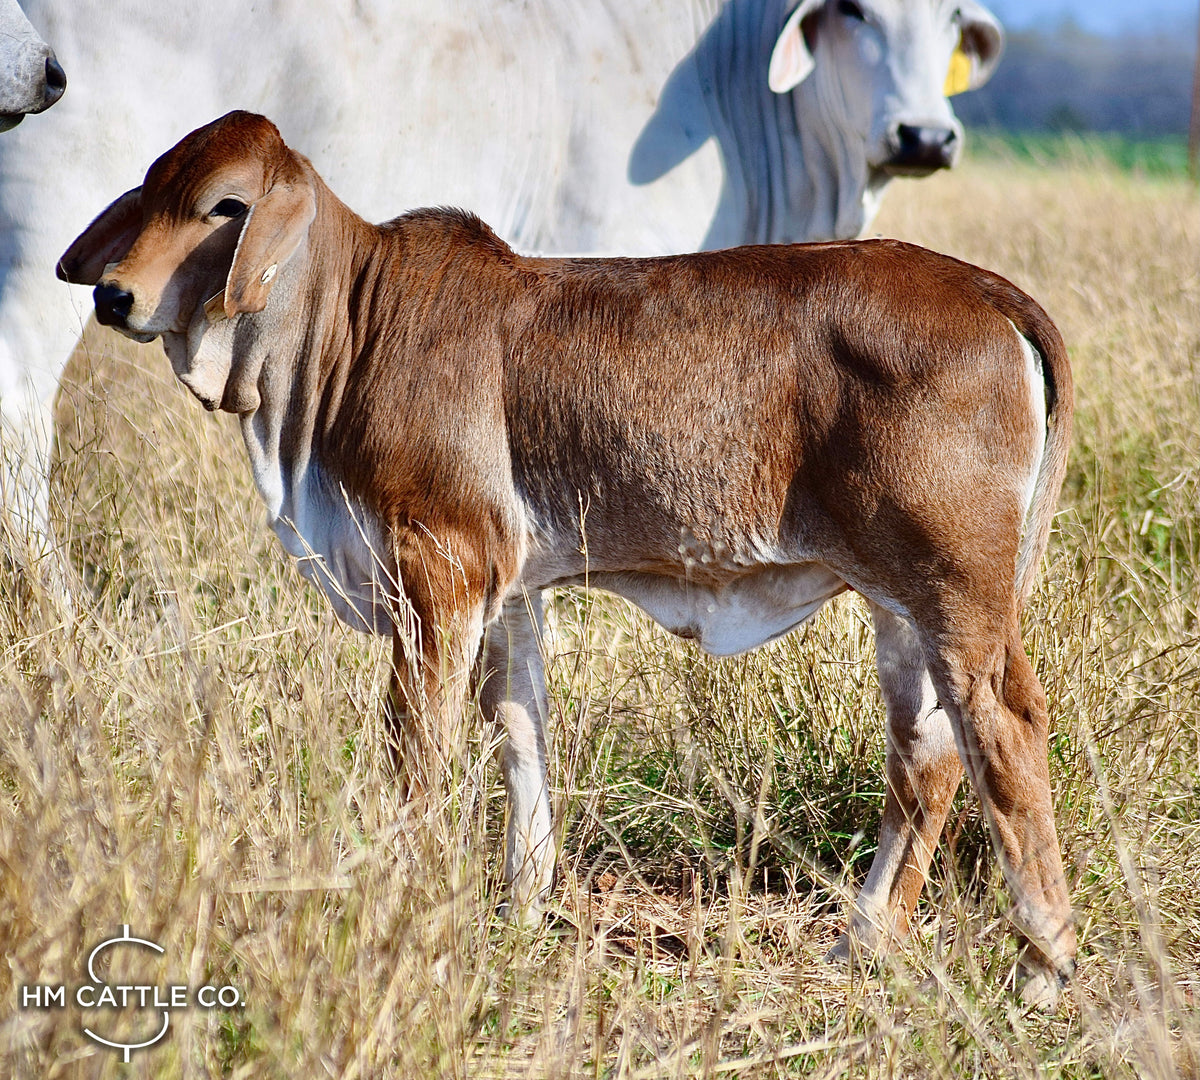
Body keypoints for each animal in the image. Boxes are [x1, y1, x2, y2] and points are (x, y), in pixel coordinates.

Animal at [59, 111, 1075, 1005]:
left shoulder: (440, 567)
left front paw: (408, 894)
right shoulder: (509, 591)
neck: (347, 331)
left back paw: (1042, 963)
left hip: (956, 591)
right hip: (898, 604)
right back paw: (864, 939)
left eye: (224, 207)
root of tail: (990, 292)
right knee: (927, 754)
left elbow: (417, 744)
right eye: (154, 188)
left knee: (1006, 724)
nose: (114, 294)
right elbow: (521, 729)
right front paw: (522, 900)